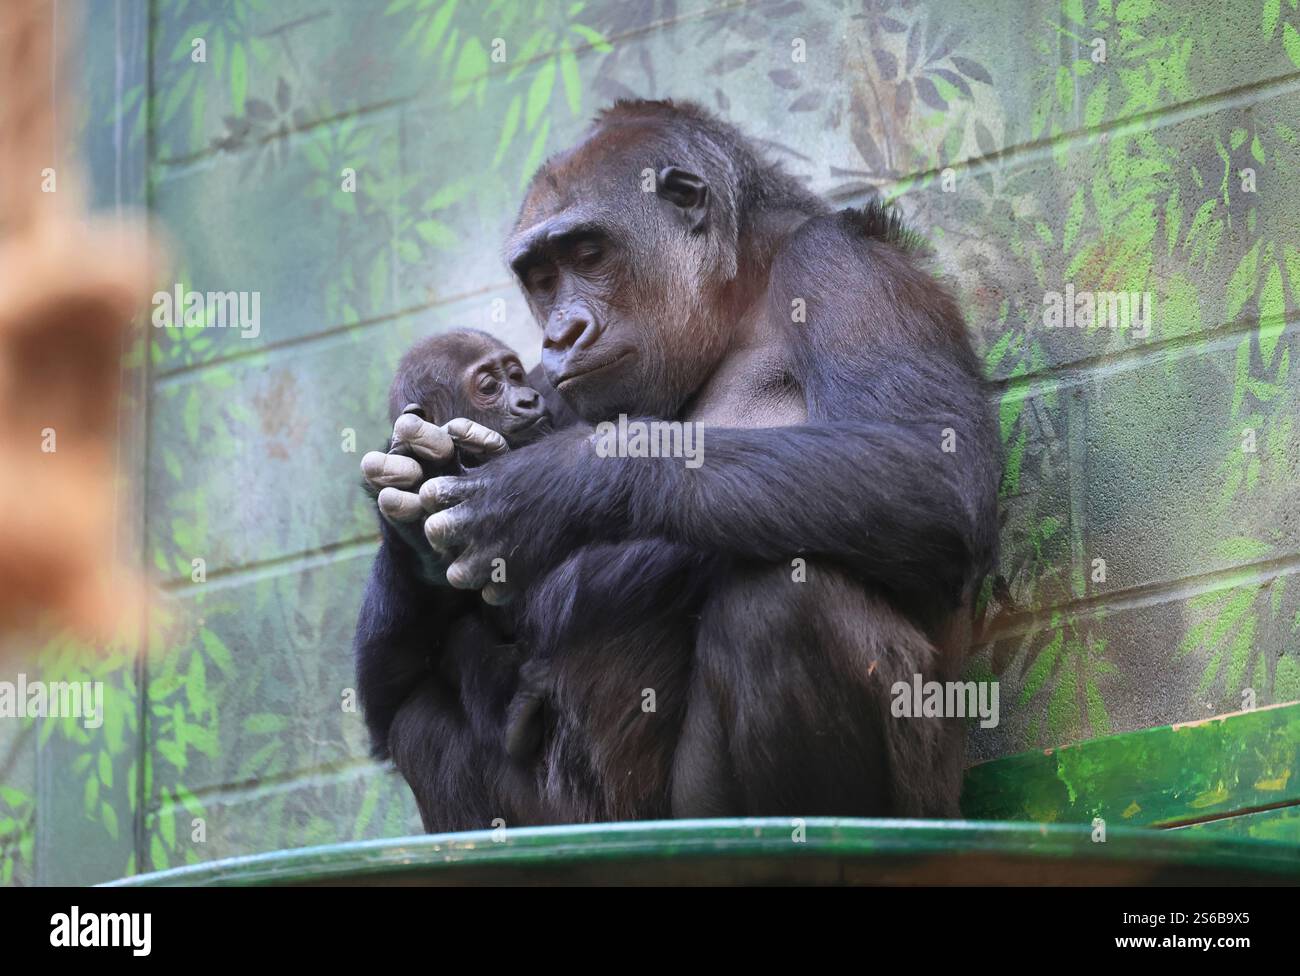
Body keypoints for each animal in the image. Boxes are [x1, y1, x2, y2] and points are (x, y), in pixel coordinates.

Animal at [363, 99, 1000, 826]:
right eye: (541, 277)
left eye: (588, 253)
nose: (560, 333)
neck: (738, 291)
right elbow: (386, 702)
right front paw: (407, 524)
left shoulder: (847, 266)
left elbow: (934, 465)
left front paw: (556, 486)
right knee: (415, 719)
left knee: (782, 598)